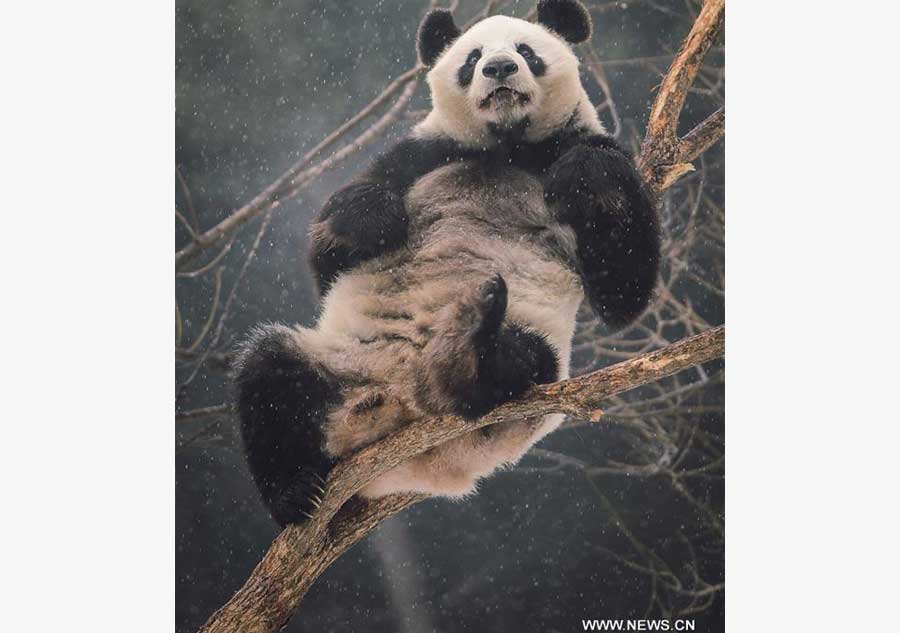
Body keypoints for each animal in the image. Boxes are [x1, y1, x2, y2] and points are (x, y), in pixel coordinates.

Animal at [233, 0, 660, 527]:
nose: (499, 68)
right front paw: (370, 216)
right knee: (267, 372)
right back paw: (295, 494)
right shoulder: (421, 155)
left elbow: (624, 293)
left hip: (530, 386)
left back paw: (474, 343)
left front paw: (586, 176)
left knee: (525, 360)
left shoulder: (593, 150)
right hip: (338, 361)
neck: (508, 146)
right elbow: (328, 262)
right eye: (472, 58)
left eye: (525, 50)